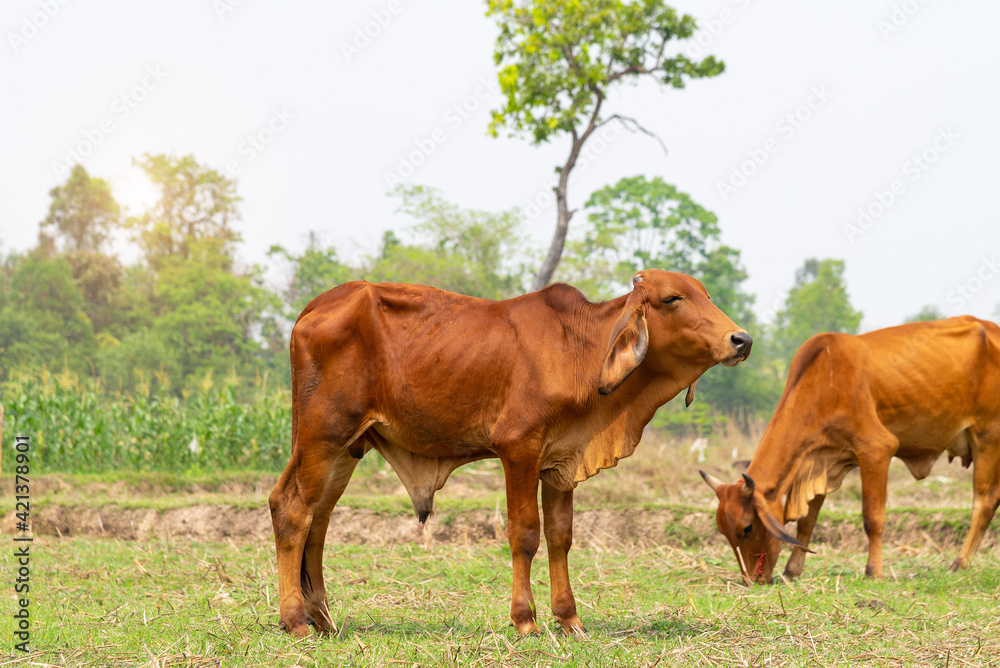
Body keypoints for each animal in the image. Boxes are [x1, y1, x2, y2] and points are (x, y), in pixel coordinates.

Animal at [269, 269, 752, 637]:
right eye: (673, 298)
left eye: (708, 296)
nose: (741, 340)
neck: (579, 349)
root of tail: (317, 305)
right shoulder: (519, 449)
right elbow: (525, 534)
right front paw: (526, 621)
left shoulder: (560, 463)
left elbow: (561, 537)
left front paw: (569, 619)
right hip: (322, 436)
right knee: (292, 509)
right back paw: (296, 621)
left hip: (347, 448)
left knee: (317, 520)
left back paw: (324, 619)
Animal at [701, 316, 1000, 584]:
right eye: (724, 532)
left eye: (747, 527)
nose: (751, 580)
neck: (822, 382)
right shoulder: (818, 461)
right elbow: (807, 522)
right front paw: (792, 570)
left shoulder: (876, 450)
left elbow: (873, 517)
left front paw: (874, 571)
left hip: (987, 437)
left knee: (983, 502)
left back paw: (959, 564)